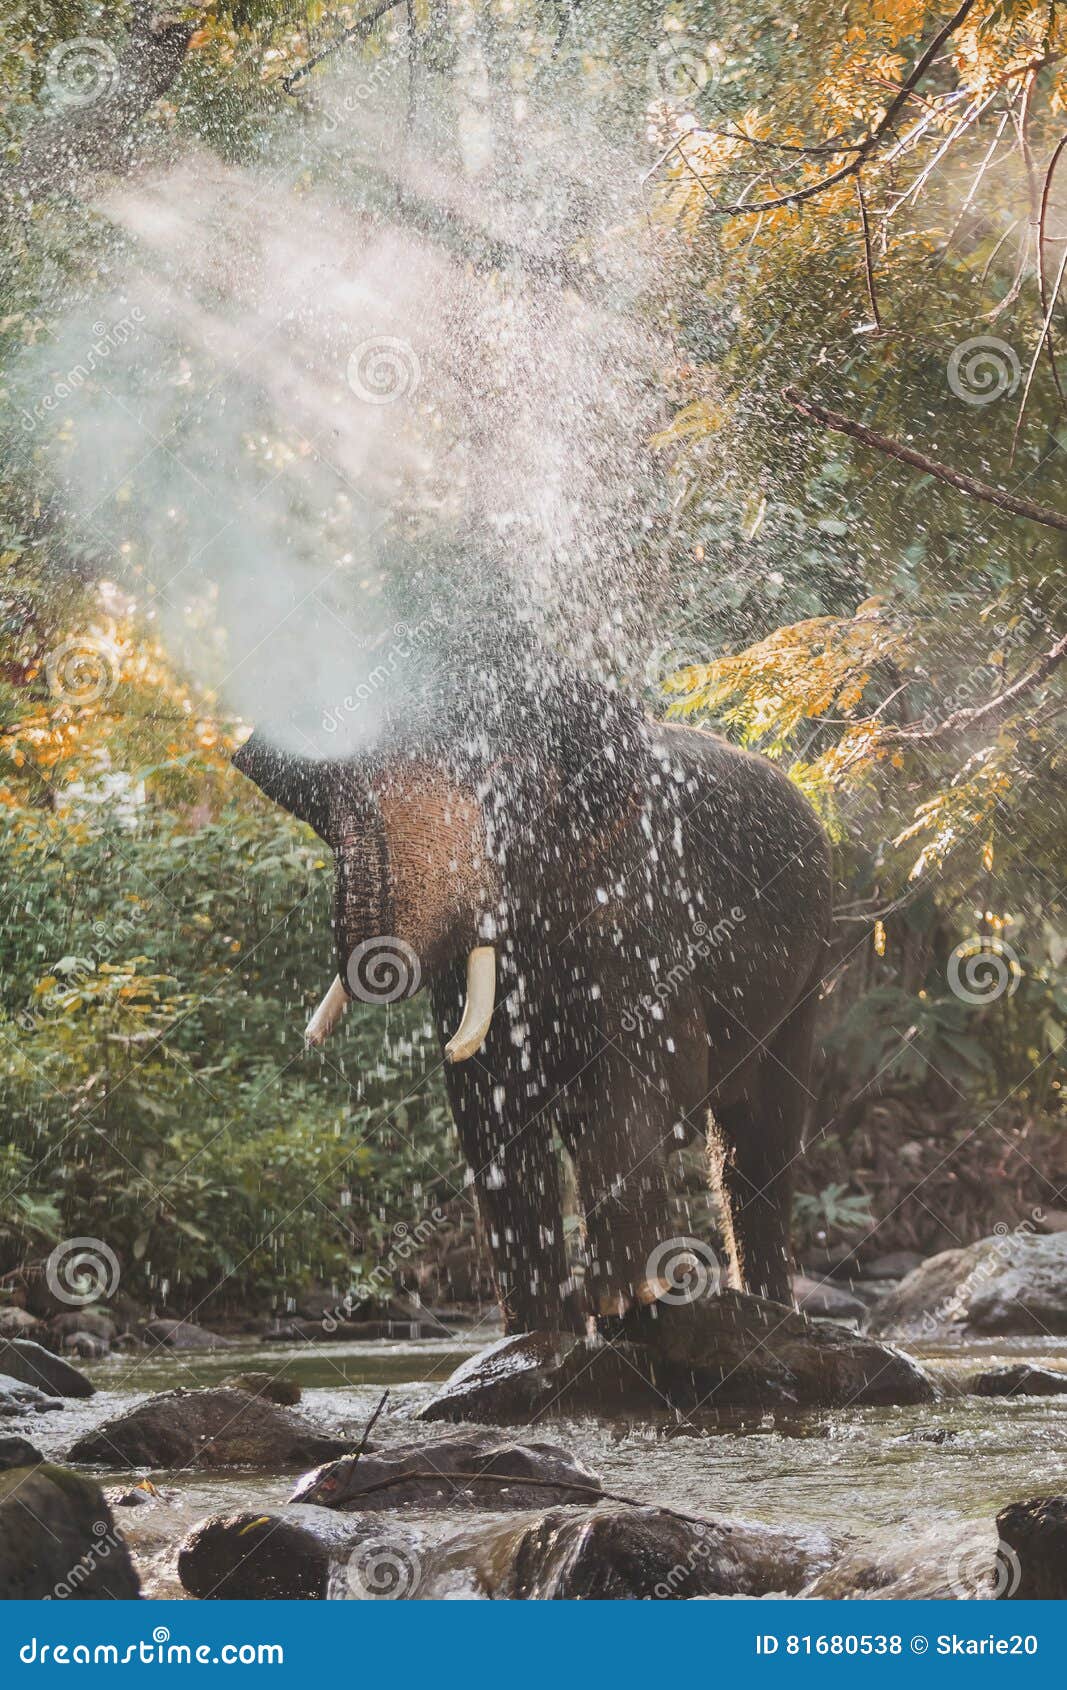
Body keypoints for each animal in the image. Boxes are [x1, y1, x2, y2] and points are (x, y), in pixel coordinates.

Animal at [233, 661, 832, 1327]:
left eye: (500, 792)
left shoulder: (645, 904)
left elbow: (650, 1076)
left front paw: (628, 1301)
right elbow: (487, 1105)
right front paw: (536, 1333)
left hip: (811, 967)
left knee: (761, 1132)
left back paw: (769, 1311)